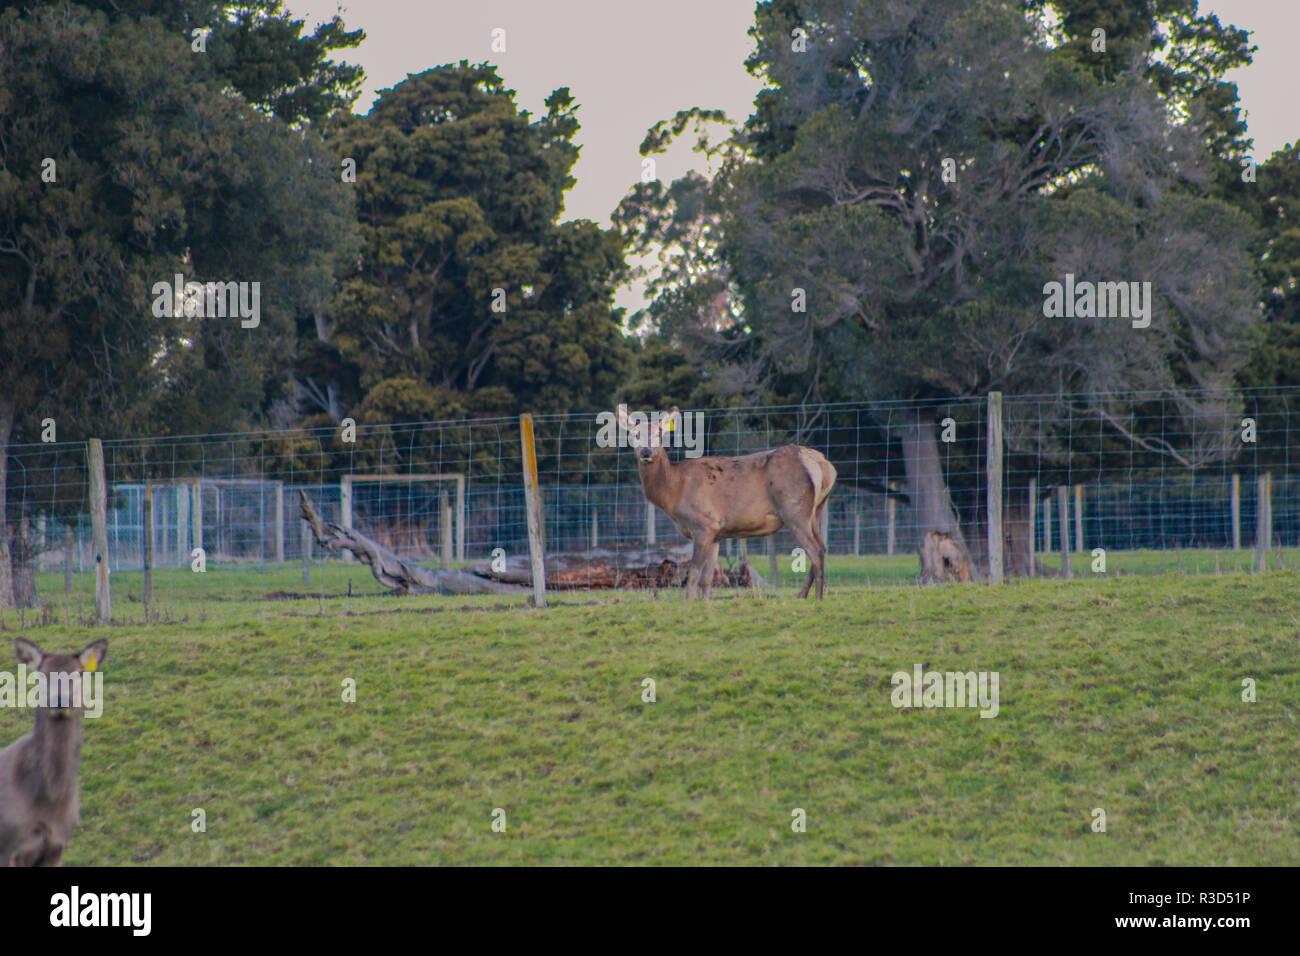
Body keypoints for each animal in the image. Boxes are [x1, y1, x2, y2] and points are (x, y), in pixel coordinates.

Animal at [618, 406, 836, 600]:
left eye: (659, 434)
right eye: (634, 434)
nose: (646, 452)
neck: (675, 491)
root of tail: (824, 465)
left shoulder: (703, 525)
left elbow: (693, 574)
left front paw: (688, 605)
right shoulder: (716, 532)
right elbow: (707, 579)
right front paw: (705, 605)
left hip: (794, 508)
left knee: (815, 551)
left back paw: (817, 599)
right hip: (816, 510)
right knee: (822, 548)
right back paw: (802, 596)